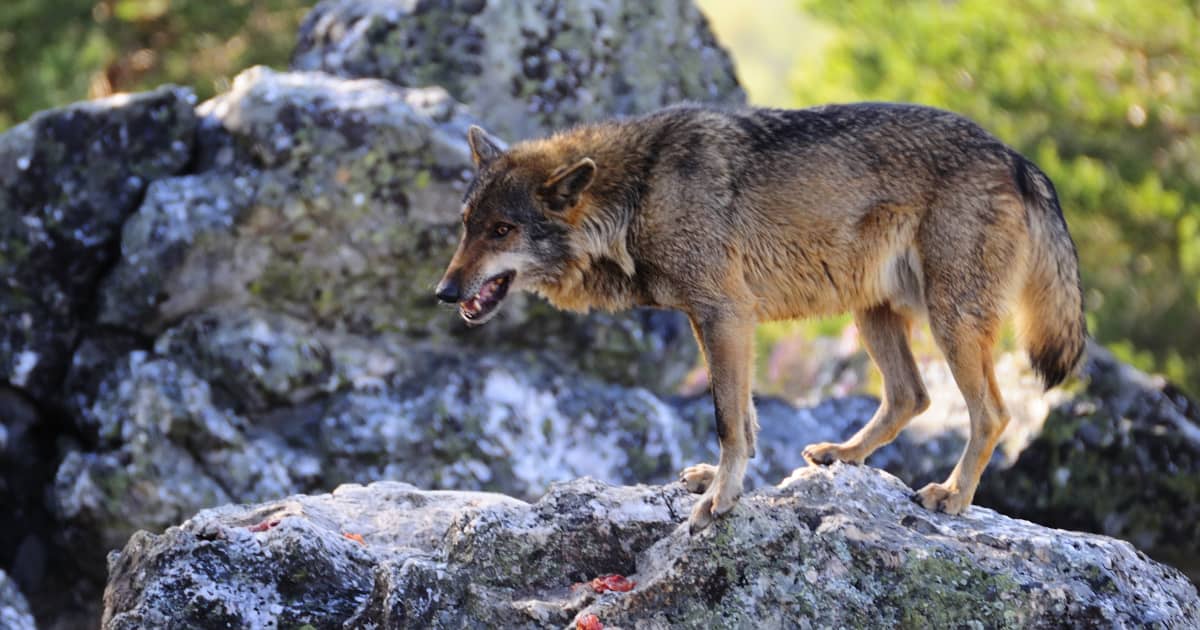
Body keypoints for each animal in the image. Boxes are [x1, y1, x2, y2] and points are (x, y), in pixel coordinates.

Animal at [435, 102, 1086, 533]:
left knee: (991, 414)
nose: (443, 291)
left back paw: (952, 496)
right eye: (466, 225)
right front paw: (727, 484)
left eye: (503, 230)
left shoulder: (725, 314)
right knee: (912, 396)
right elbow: (744, 421)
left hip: (948, 321)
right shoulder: (718, 321)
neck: (639, 195)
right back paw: (842, 455)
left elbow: (727, 420)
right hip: (872, 316)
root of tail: (1018, 158)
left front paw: (719, 501)